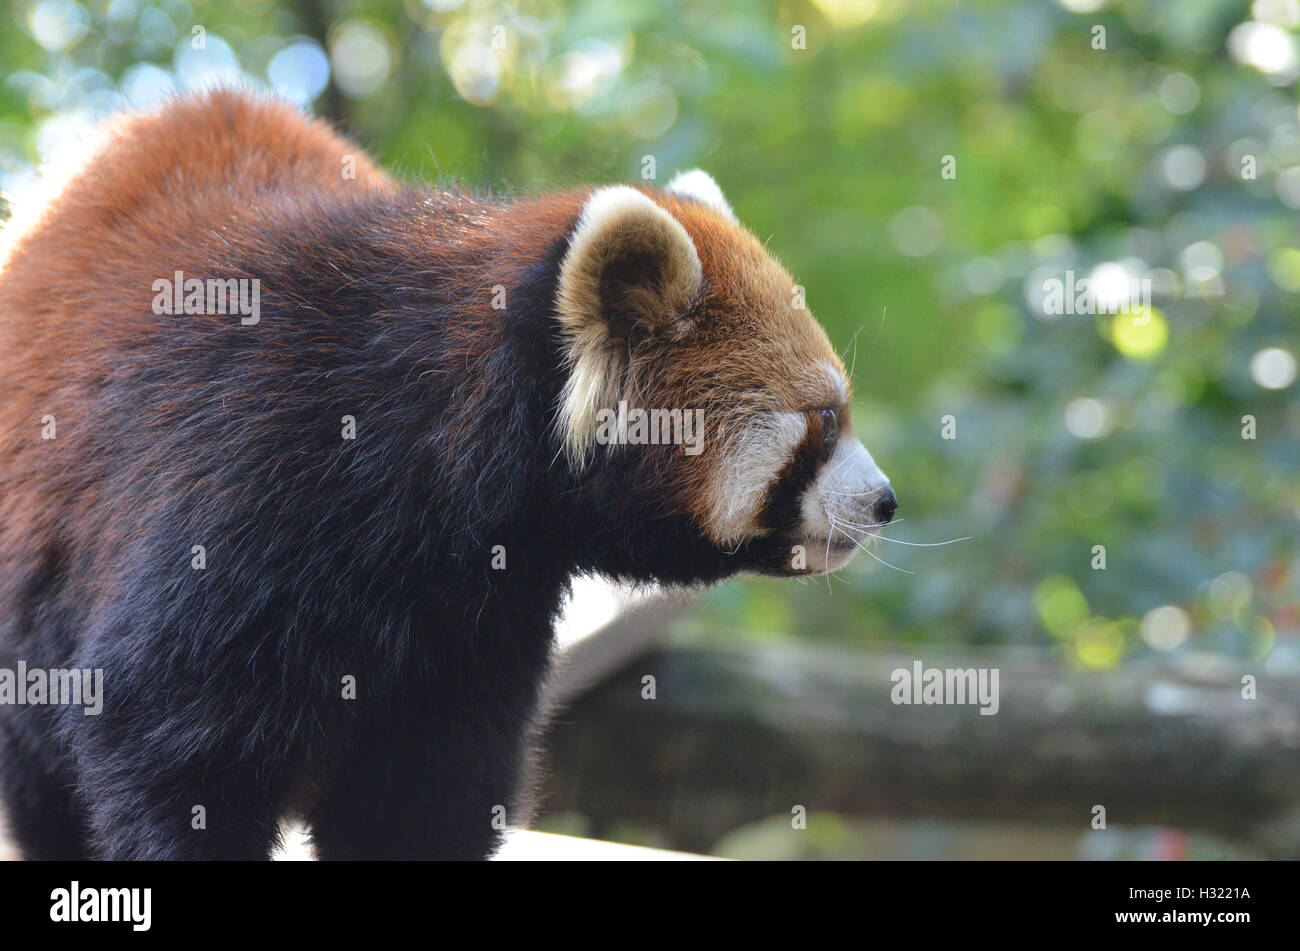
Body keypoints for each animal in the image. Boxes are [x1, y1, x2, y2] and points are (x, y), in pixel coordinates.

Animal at [0, 89, 896, 860]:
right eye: (824, 421)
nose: (886, 501)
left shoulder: (479, 616)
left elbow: (421, 800)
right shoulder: (240, 490)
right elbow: (167, 750)